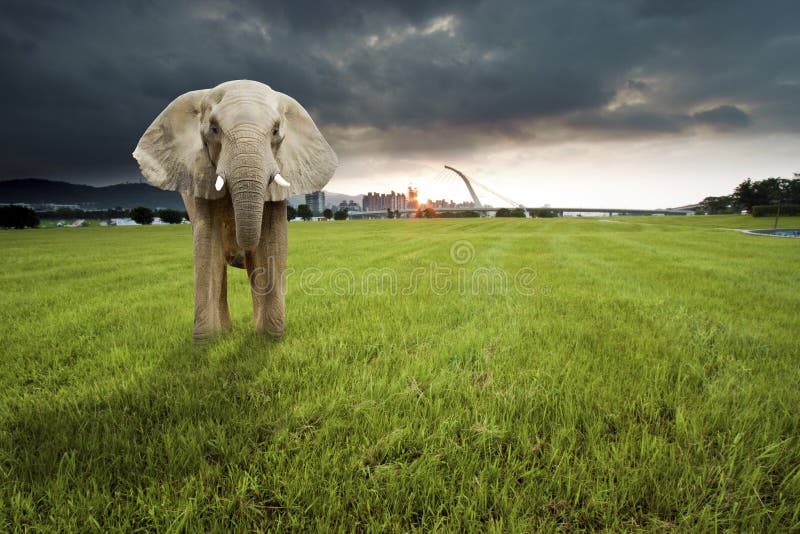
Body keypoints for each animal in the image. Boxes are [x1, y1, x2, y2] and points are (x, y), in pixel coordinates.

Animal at [133, 80, 337, 341]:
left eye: (275, 131)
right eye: (214, 129)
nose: (239, 251)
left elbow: (272, 241)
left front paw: (268, 339)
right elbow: (208, 243)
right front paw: (206, 342)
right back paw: (226, 331)